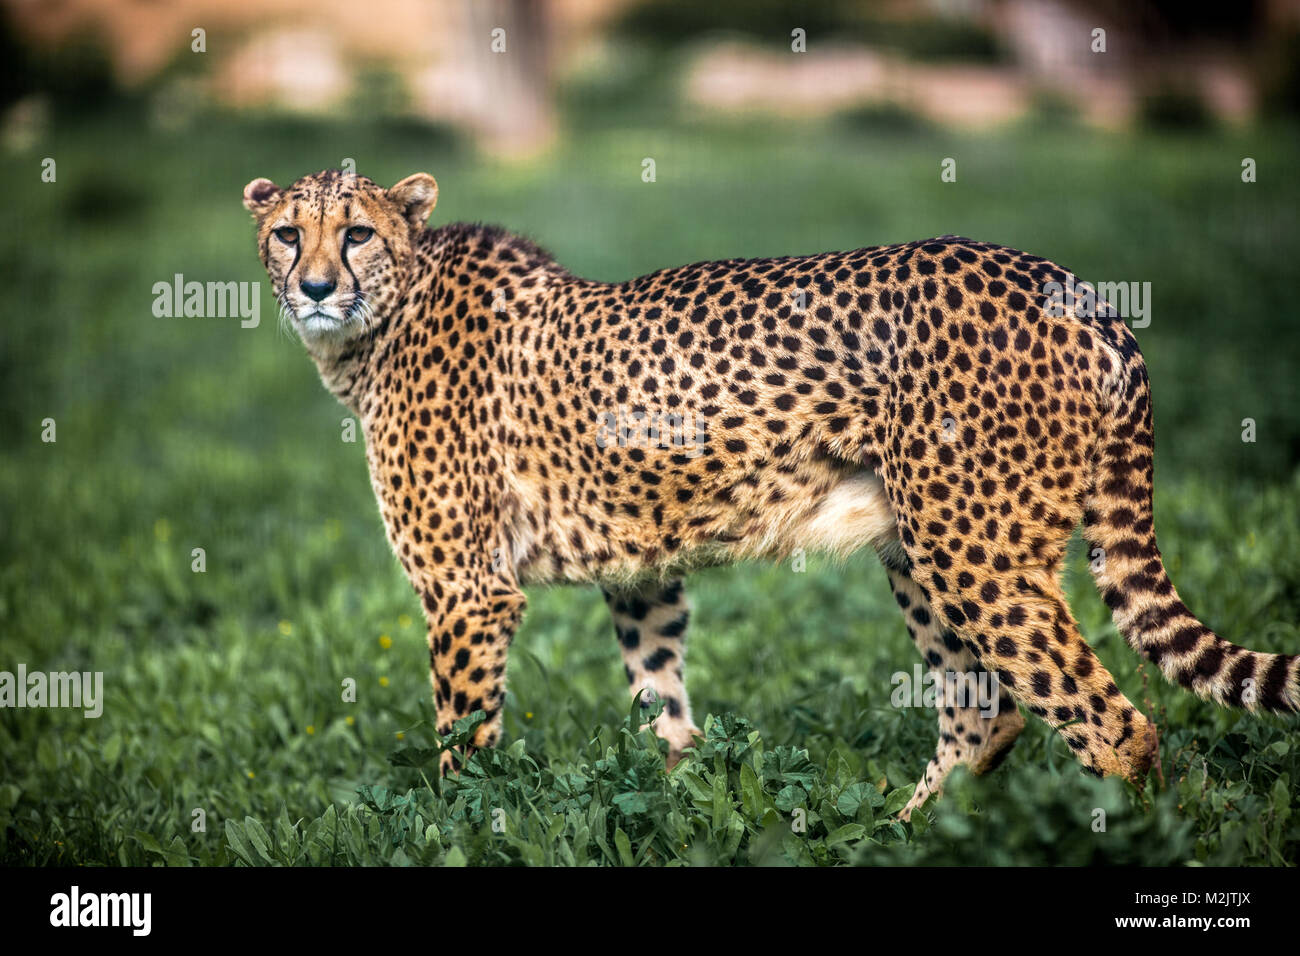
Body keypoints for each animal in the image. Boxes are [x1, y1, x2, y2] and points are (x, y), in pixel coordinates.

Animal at [243, 168, 1299, 818]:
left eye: (358, 233)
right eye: (288, 234)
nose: (316, 287)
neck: (383, 319)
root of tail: (1069, 284)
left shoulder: (467, 590)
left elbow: (462, 741)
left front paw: (470, 823)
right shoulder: (642, 571)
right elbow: (662, 701)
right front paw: (685, 803)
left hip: (976, 549)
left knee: (1112, 726)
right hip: (919, 544)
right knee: (985, 708)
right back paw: (899, 835)